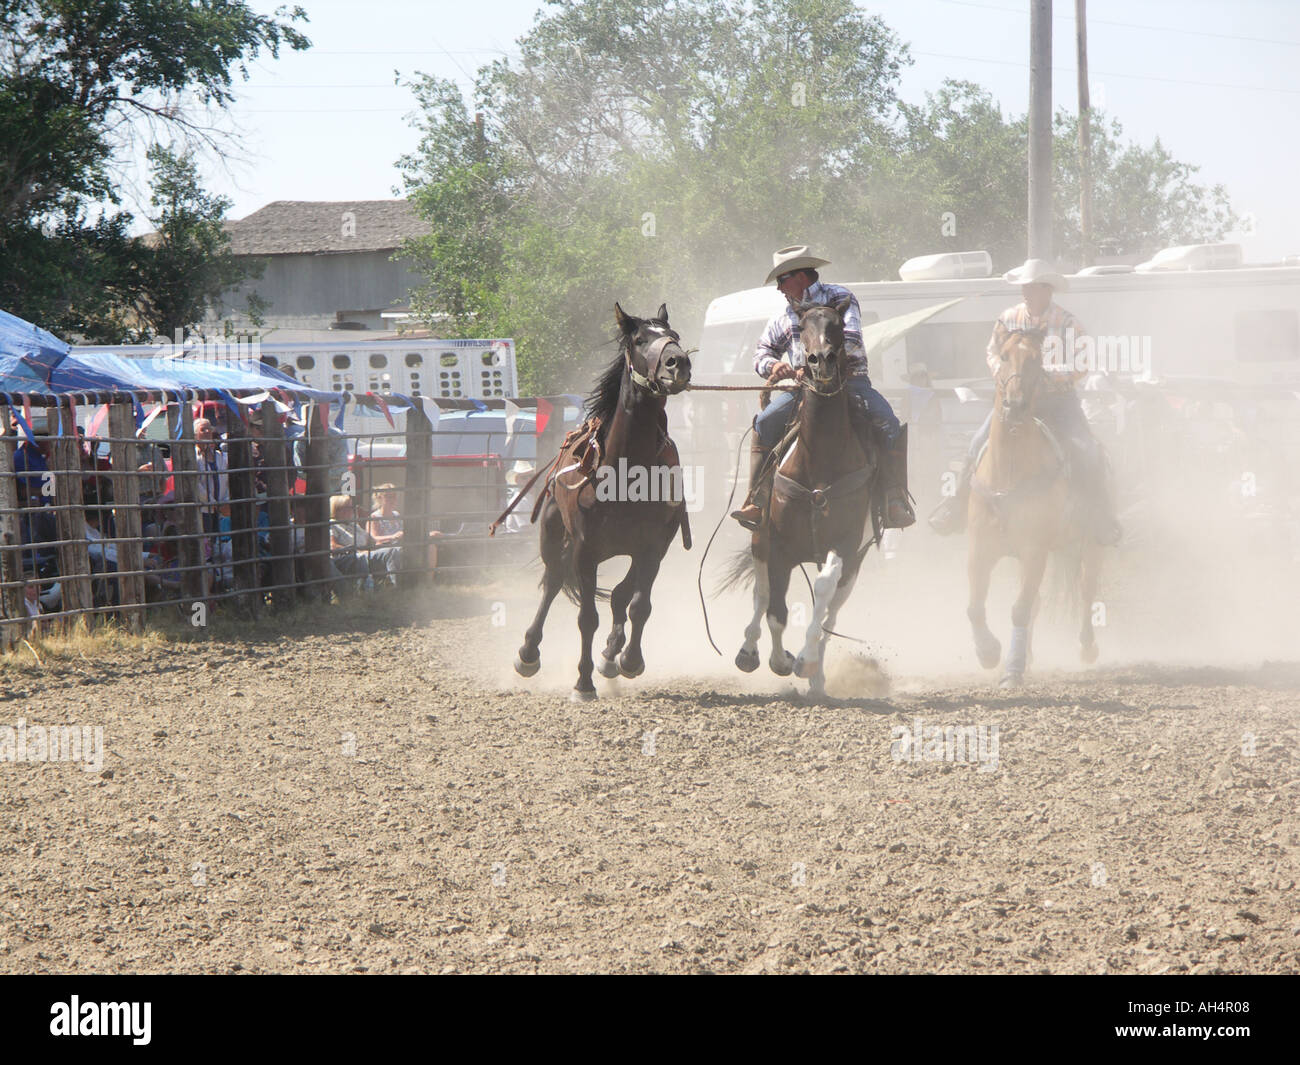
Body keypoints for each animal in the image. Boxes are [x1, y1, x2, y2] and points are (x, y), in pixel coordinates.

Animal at [512, 303, 692, 701]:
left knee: (621, 595)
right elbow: (586, 618)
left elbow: (639, 605)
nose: (678, 363)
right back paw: (528, 654)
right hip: (552, 535)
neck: (626, 470)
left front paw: (630, 660)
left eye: (675, 336)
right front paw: (583, 682)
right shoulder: (585, 550)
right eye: (639, 339)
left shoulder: (653, 547)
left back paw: (611, 655)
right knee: (552, 583)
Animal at [729, 297, 880, 698]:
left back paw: (816, 678)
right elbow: (774, 610)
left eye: (837, 327)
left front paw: (806, 662)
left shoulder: (845, 546)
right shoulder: (777, 545)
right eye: (802, 327)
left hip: (854, 567)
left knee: (831, 612)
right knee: (762, 594)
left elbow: (823, 598)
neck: (820, 461)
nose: (819, 360)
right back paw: (748, 650)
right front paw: (778, 660)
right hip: (759, 539)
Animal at [966, 327, 1103, 687]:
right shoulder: (980, 548)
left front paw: (1011, 669)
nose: (1014, 405)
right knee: (1038, 602)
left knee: (1086, 590)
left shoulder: (1034, 550)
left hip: (1091, 545)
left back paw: (1087, 648)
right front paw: (989, 653)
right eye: (1003, 356)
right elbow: (975, 606)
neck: (1009, 470)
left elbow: (1020, 609)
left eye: (1036, 360)